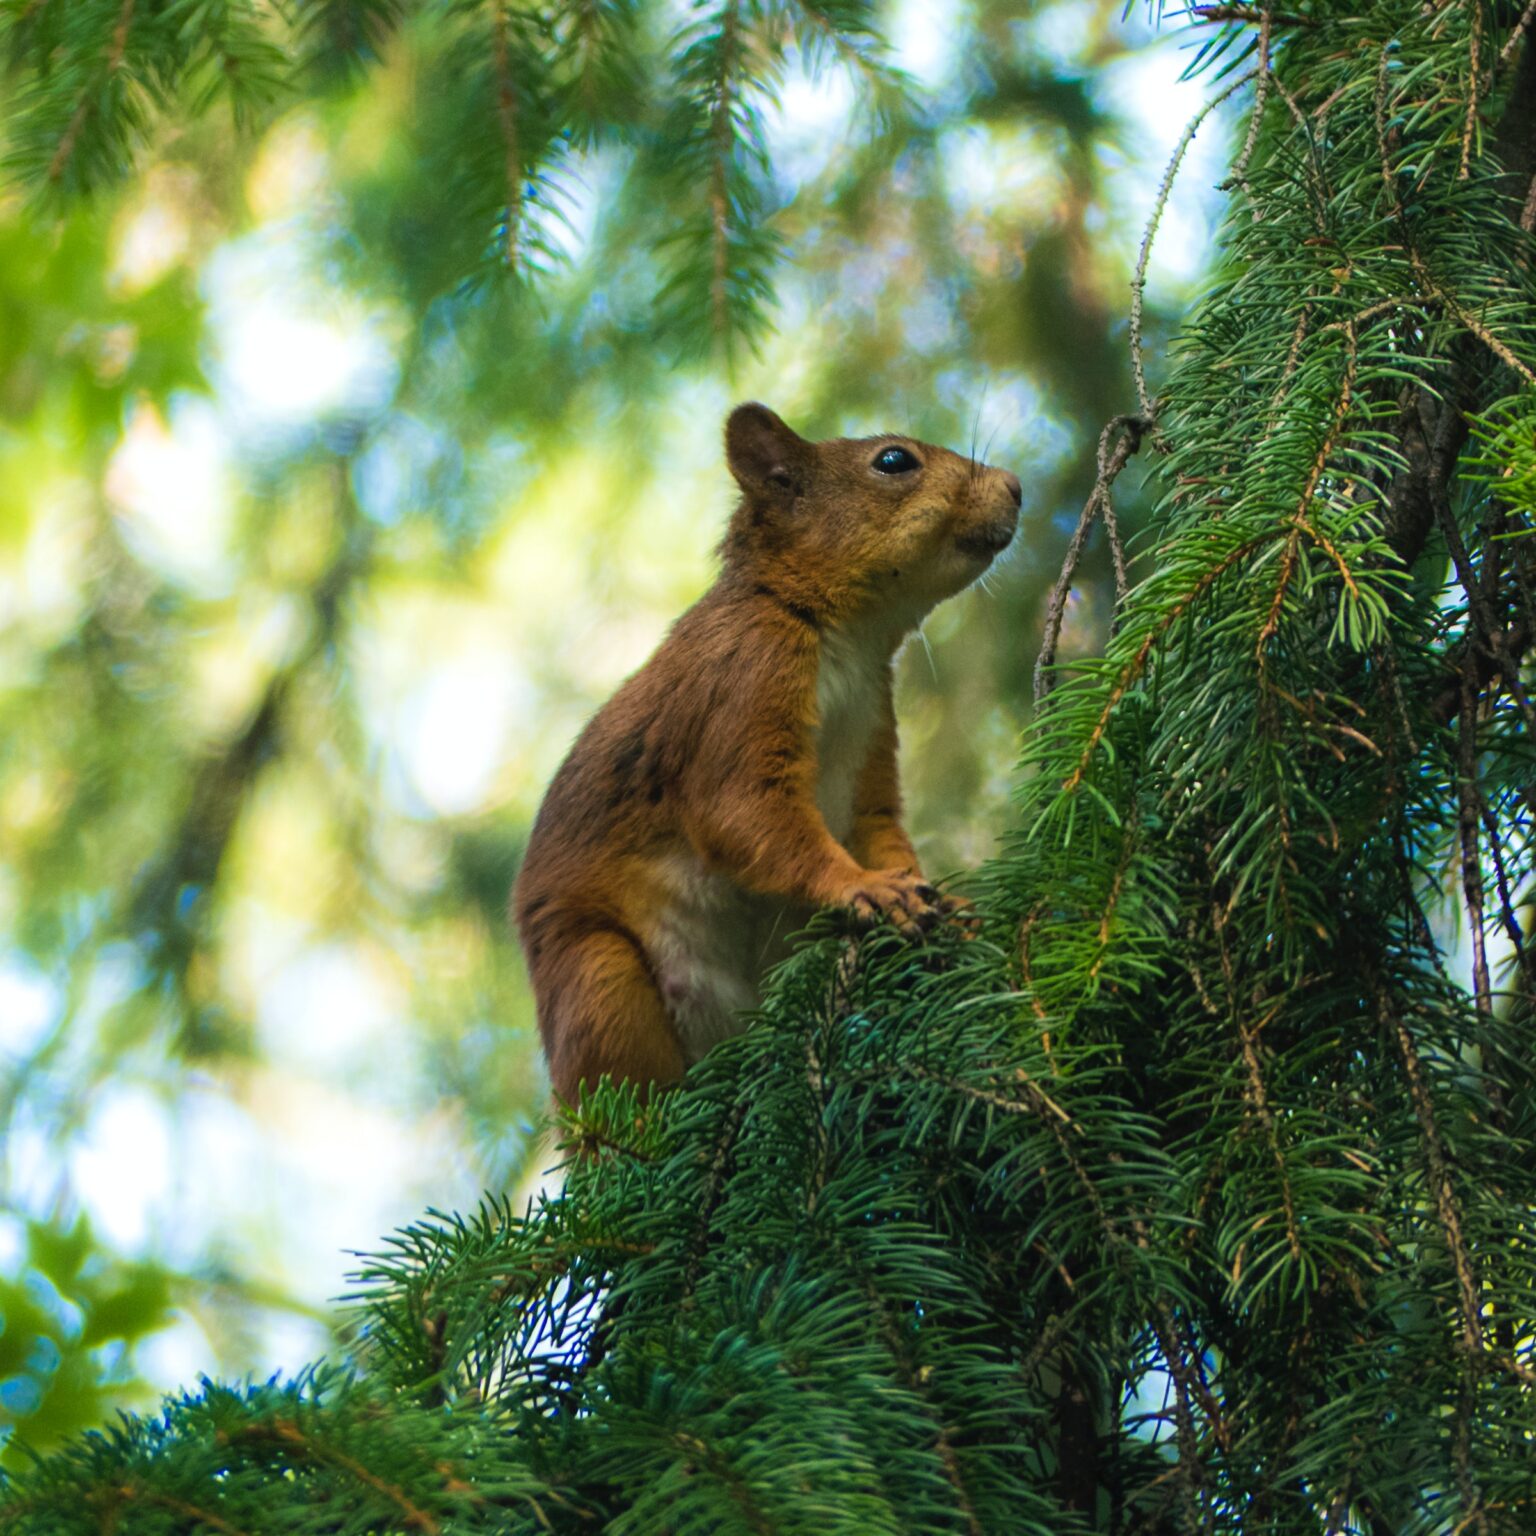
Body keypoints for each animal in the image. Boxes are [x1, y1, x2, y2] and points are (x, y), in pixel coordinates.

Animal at [514, 403, 1021, 1102]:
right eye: (894, 461)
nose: (1016, 487)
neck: (848, 639)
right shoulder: (741, 684)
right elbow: (743, 814)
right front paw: (864, 888)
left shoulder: (869, 738)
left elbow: (880, 829)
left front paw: (943, 902)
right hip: (596, 977)